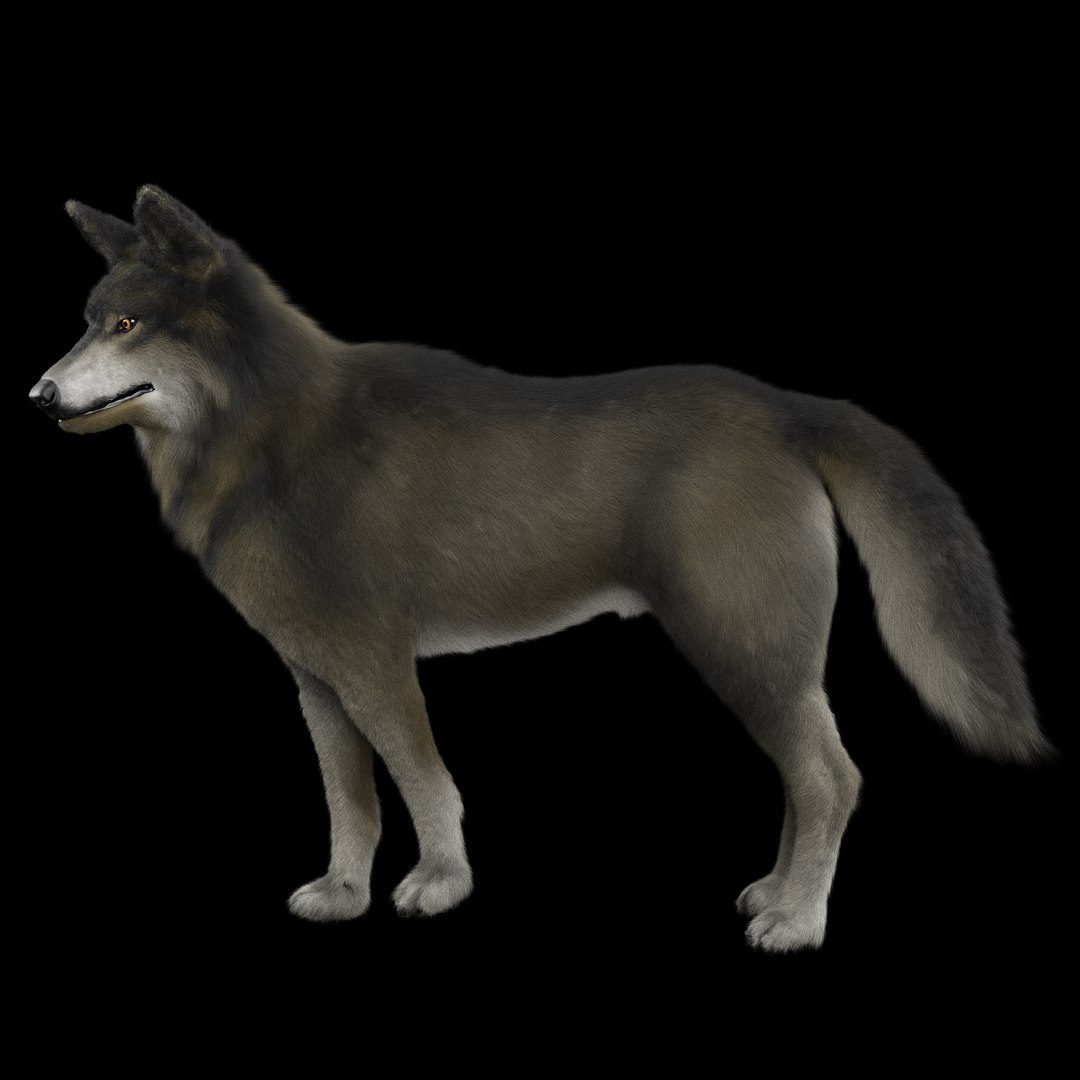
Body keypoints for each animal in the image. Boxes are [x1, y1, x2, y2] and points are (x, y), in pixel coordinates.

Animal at [29, 185, 1052, 951]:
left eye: (127, 323)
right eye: (87, 323)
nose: (36, 395)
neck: (266, 433)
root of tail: (786, 410)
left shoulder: (375, 665)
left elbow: (425, 782)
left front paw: (439, 884)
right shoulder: (315, 681)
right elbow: (351, 803)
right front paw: (344, 893)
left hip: (743, 650)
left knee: (833, 778)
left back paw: (799, 921)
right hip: (759, 661)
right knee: (806, 779)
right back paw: (775, 890)